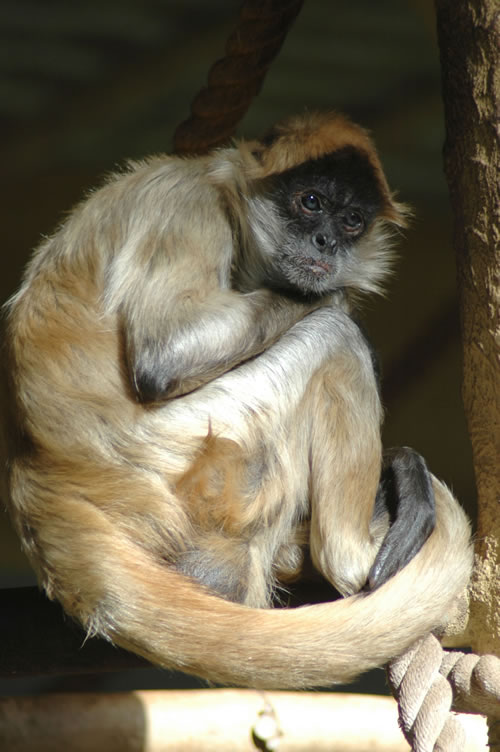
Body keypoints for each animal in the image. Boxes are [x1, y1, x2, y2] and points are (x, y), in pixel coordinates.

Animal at [1, 112, 472, 689]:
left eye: (352, 221)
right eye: (311, 202)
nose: (326, 241)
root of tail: (41, 480)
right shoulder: (187, 203)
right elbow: (166, 357)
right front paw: (345, 307)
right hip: (193, 446)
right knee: (334, 336)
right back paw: (354, 554)